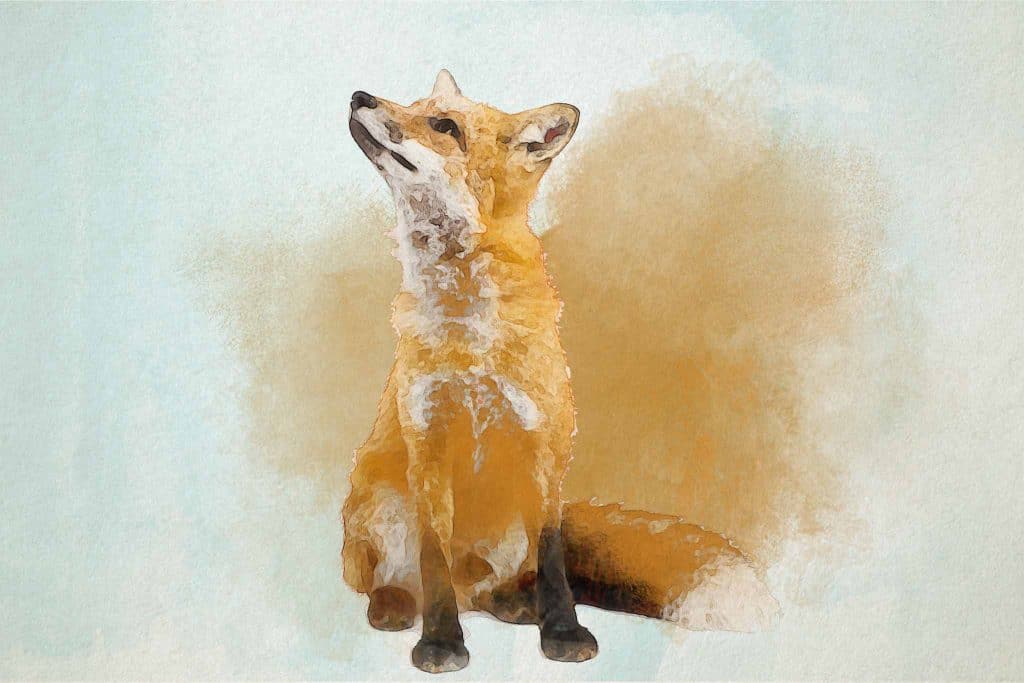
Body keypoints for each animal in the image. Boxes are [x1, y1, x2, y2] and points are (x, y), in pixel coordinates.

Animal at [342, 70, 778, 673]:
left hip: (506, 530)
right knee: (403, 580)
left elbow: (554, 563)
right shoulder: (427, 439)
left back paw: (516, 605)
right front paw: (441, 642)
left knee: (495, 586)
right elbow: (433, 560)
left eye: (443, 125)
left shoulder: (545, 442)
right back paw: (395, 606)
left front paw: (563, 633)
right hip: (378, 505)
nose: (359, 96)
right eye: (414, 103)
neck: (470, 333)